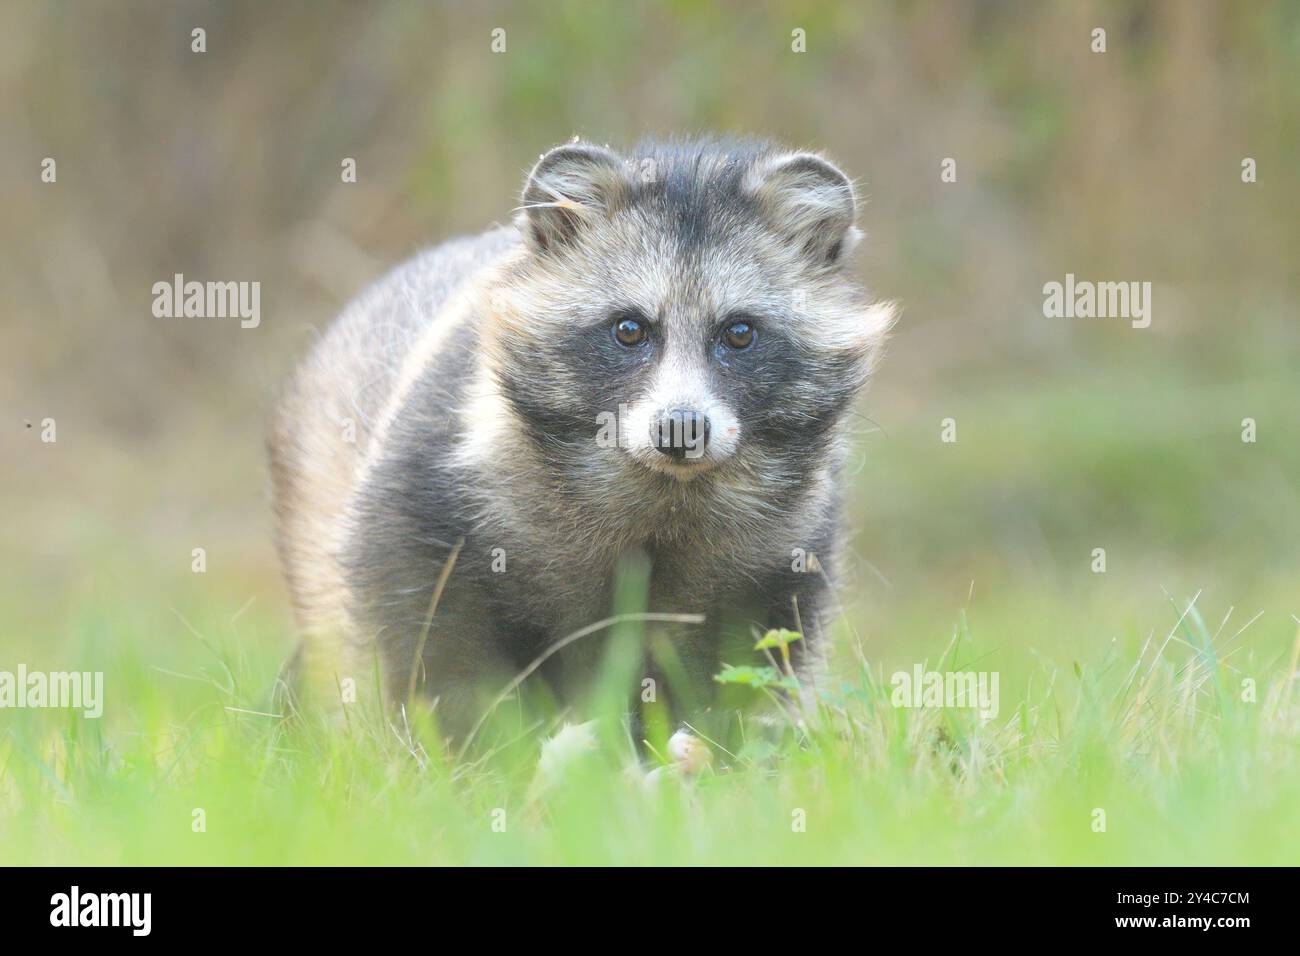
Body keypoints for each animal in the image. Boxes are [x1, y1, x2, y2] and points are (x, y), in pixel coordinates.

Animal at [268, 137, 894, 739]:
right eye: (630, 328)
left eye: (739, 332)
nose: (681, 428)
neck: (662, 496)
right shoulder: (429, 490)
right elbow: (431, 653)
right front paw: (455, 752)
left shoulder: (784, 551)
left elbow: (746, 666)